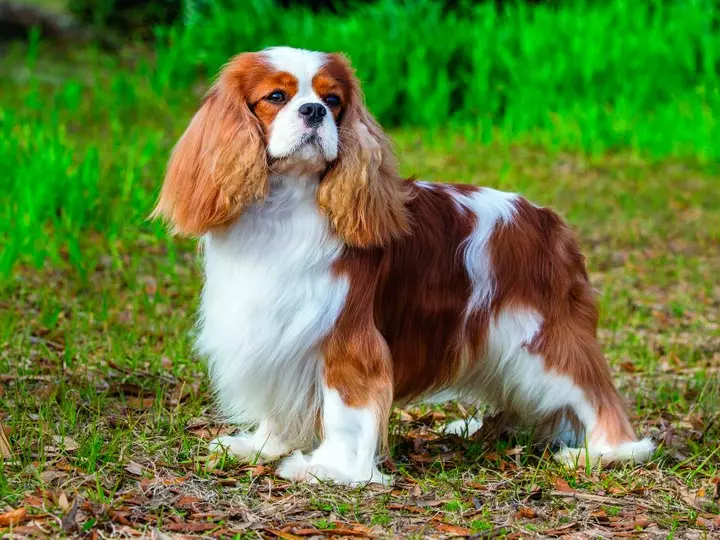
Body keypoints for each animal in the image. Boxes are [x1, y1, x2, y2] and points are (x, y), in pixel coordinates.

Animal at [155, 46, 656, 486]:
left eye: (333, 101)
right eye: (276, 97)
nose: (314, 111)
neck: (286, 205)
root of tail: (548, 220)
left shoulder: (347, 336)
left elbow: (346, 409)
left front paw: (331, 469)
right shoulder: (274, 328)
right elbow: (277, 401)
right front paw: (263, 445)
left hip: (541, 338)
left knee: (594, 394)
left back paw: (603, 452)